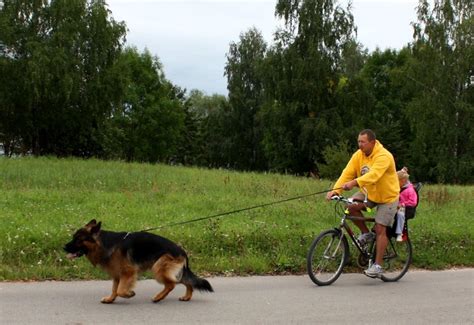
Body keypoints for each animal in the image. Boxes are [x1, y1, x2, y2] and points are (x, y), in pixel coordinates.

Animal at [63, 219, 213, 302]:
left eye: (78, 240)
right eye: (73, 237)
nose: (64, 247)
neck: (105, 244)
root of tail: (182, 251)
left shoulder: (128, 272)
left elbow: (120, 290)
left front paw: (129, 294)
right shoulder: (117, 274)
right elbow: (114, 289)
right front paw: (110, 299)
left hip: (158, 268)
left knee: (171, 284)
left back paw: (158, 298)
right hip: (172, 271)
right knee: (186, 282)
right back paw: (186, 297)